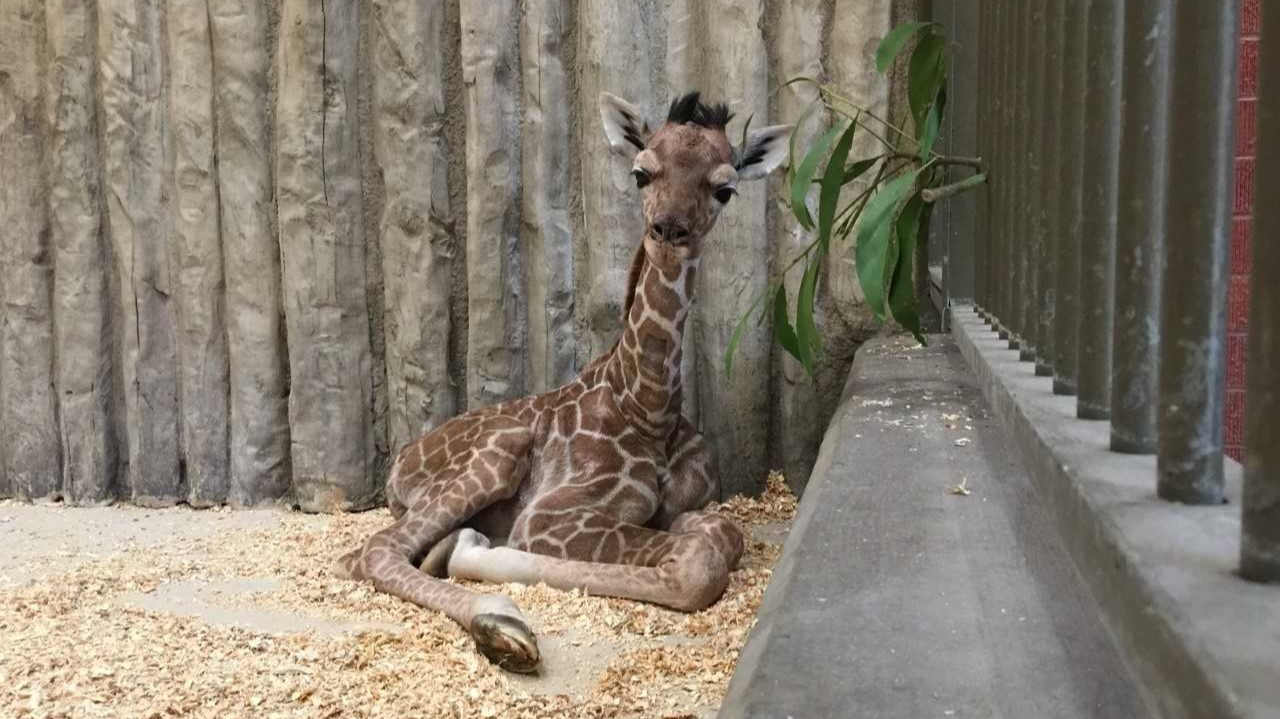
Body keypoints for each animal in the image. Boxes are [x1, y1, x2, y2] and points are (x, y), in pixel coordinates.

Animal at [336, 91, 792, 673]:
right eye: (641, 172)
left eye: (725, 188)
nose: (670, 230)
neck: (649, 408)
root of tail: (400, 464)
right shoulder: (548, 517)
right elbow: (697, 565)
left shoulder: (696, 502)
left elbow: (718, 530)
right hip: (497, 455)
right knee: (371, 552)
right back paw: (499, 622)